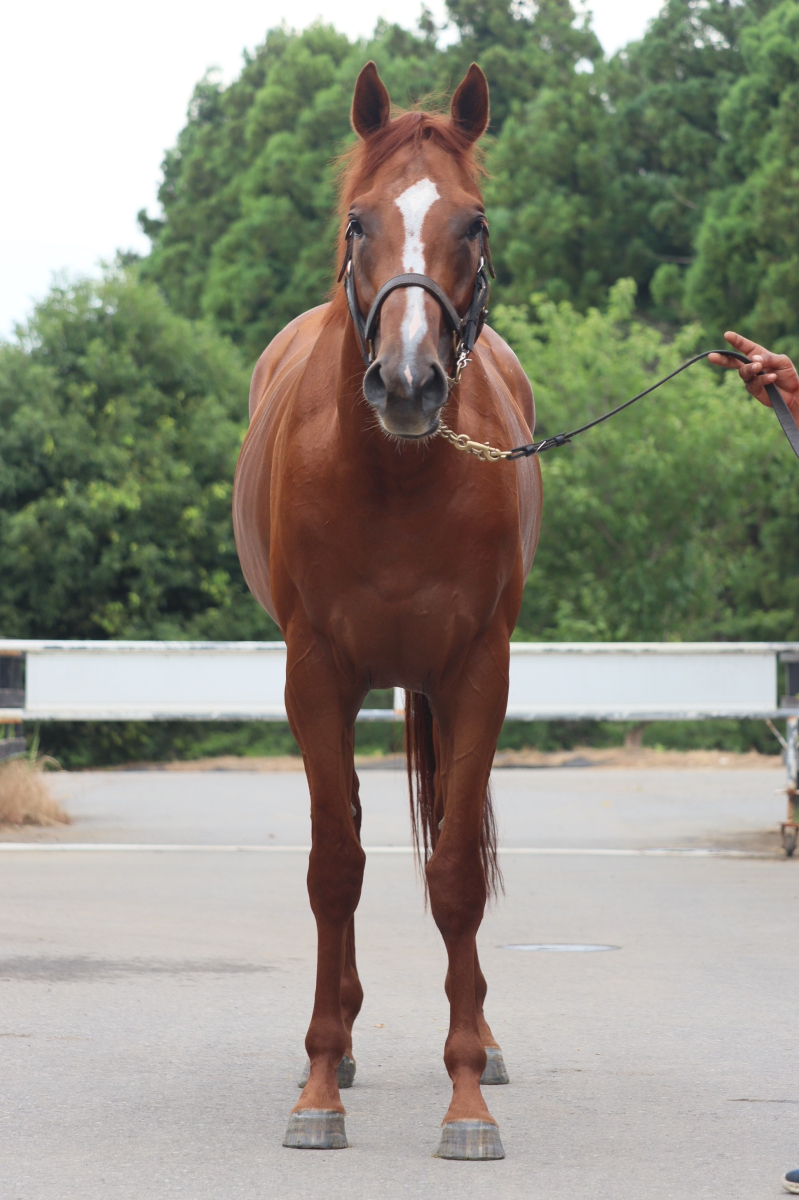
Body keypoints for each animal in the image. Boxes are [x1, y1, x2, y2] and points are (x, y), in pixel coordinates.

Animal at [232, 60, 541, 1160]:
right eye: (359, 222)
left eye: (474, 223)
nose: (407, 384)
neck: (398, 475)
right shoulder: (315, 674)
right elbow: (335, 866)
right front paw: (321, 1086)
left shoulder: (476, 672)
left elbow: (455, 873)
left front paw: (467, 1098)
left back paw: (483, 1041)